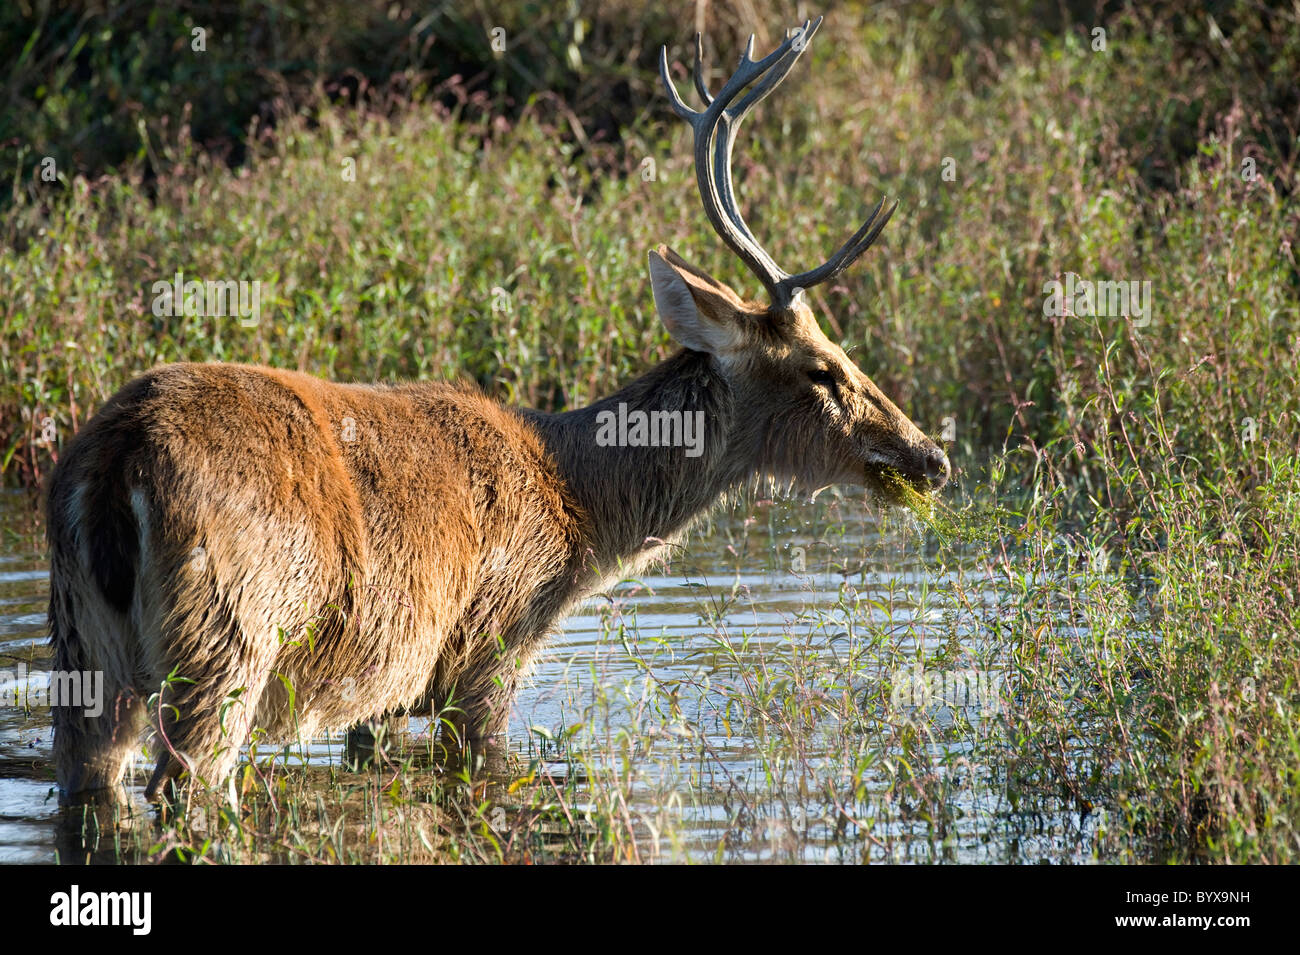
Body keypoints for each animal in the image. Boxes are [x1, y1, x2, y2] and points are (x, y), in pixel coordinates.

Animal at [45, 16, 949, 804]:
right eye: (824, 369)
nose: (931, 456)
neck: (579, 513)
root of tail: (116, 465)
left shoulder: (384, 690)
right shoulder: (485, 651)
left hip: (82, 644)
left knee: (91, 771)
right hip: (230, 633)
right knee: (184, 781)